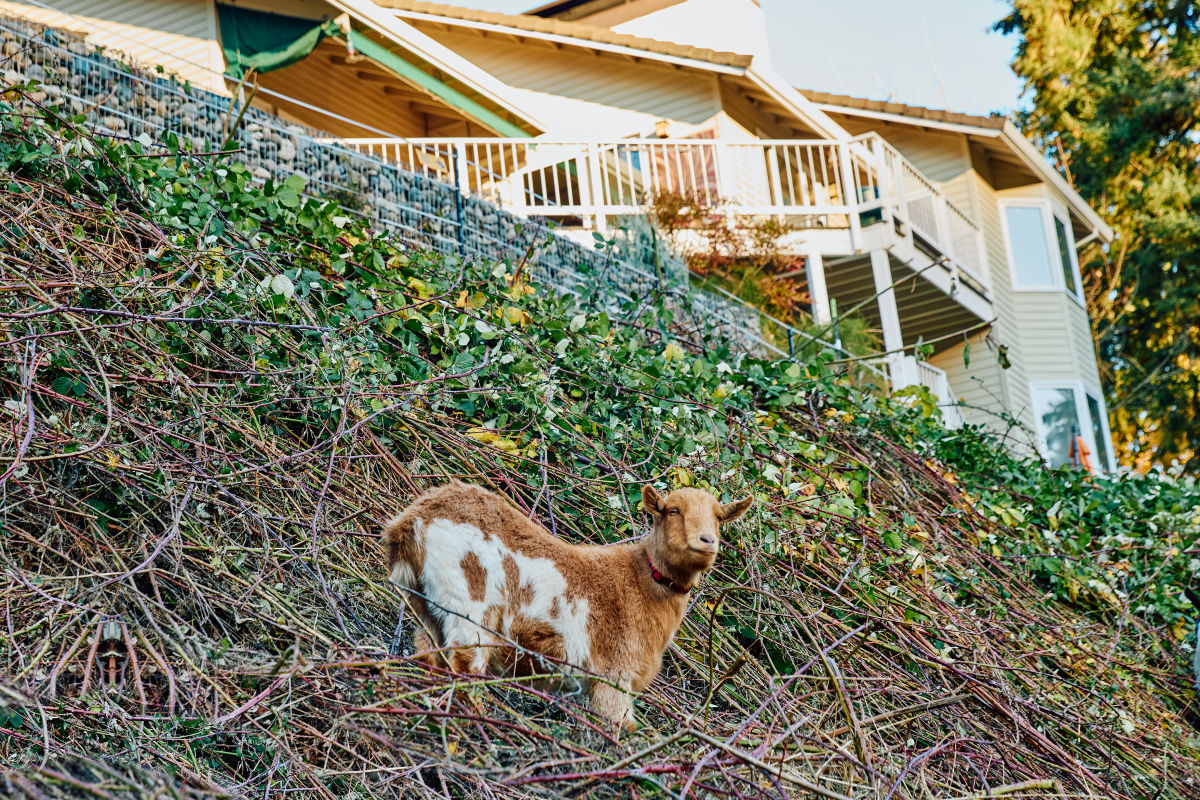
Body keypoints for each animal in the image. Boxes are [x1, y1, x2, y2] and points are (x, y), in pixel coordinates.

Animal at [382, 479, 752, 728]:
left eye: (719, 518)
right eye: (673, 511)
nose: (708, 541)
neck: (640, 584)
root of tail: (411, 522)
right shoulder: (613, 676)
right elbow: (619, 728)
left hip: (425, 605)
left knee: (428, 653)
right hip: (470, 604)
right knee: (463, 668)